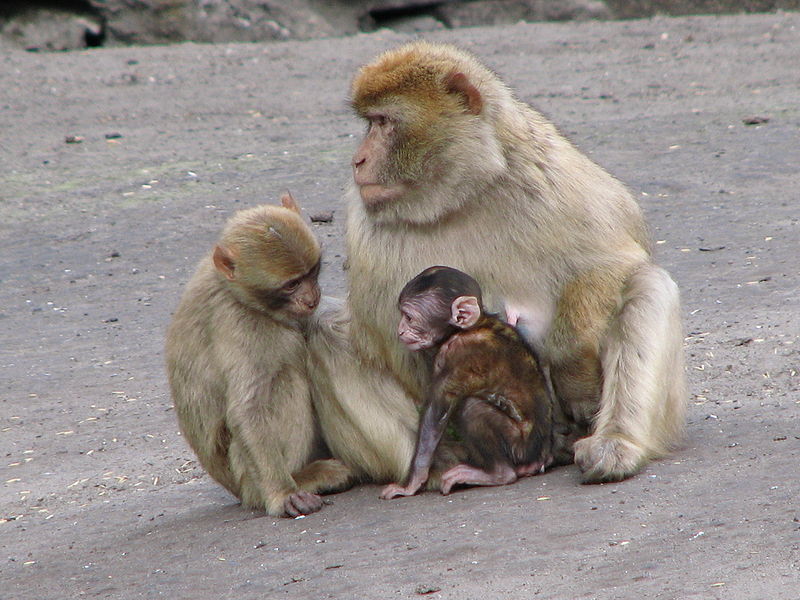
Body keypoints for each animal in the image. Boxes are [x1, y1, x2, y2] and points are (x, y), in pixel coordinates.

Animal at [165, 194, 354, 517]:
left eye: (312, 272)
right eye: (291, 284)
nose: (311, 299)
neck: (235, 291)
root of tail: (237, 491)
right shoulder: (242, 326)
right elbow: (249, 409)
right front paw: (283, 494)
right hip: (245, 476)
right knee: (284, 380)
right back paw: (303, 478)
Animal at [379, 266, 554, 500]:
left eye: (408, 317)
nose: (400, 330)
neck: (468, 328)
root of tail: (542, 456)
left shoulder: (457, 352)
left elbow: (436, 413)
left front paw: (411, 484)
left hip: (520, 447)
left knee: (472, 408)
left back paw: (498, 474)